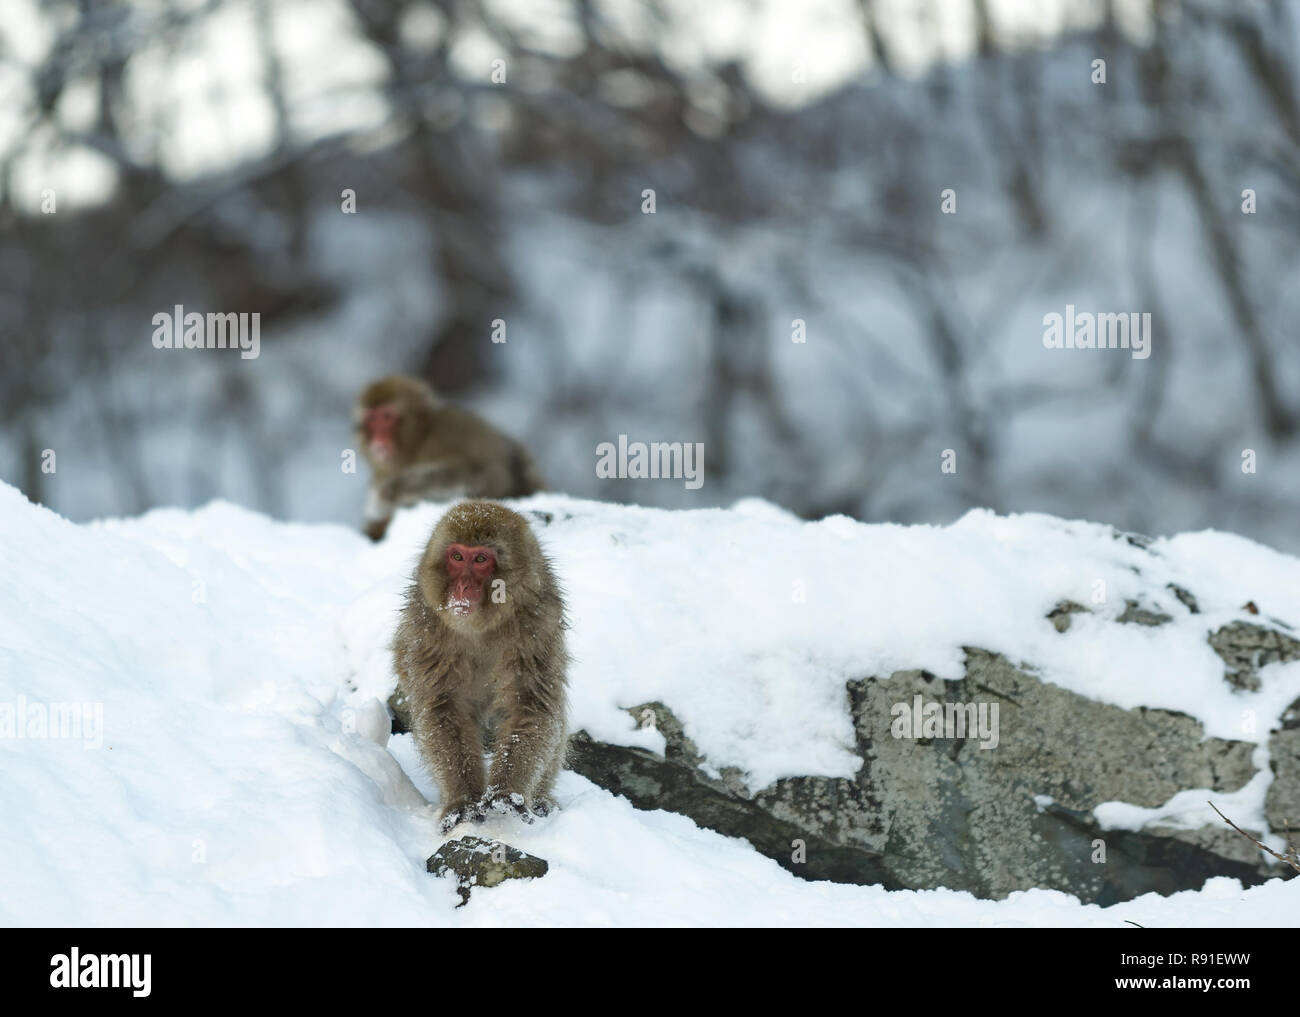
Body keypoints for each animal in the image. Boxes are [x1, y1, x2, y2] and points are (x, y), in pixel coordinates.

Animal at [354, 375, 546, 541]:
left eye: (386, 416)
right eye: (372, 419)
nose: (379, 438)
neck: (420, 439)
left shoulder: (451, 430)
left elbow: (477, 475)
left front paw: (391, 491)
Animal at [393, 501, 568, 833]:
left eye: (481, 559)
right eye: (457, 557)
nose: (463, 586)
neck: (482, 626)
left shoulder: (537, 625)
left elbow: (532, 705)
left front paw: (507, 793)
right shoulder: (427, 629)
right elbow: (442, 708)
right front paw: (463, 801)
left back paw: (541, 798)